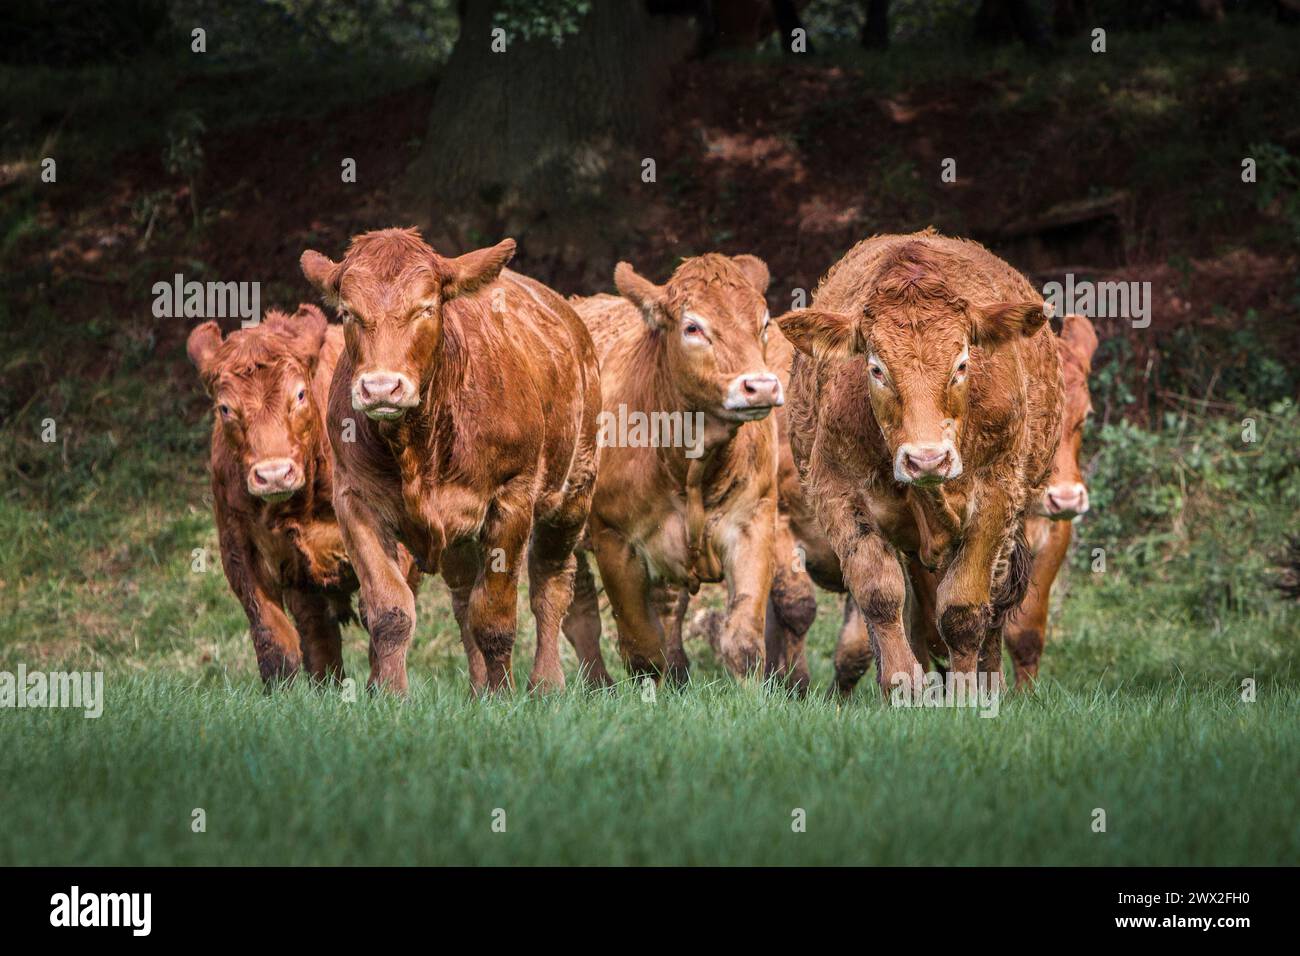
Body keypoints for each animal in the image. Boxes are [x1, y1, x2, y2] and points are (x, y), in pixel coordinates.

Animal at [300, 228, 600, 695]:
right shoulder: (354, 500)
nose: (381, 387)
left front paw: (502, 696)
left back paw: (545, 682)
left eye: (425, 307)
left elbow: (494, 616)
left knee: (550, 584)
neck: (417, 446)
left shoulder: (511, 498)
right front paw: (391, 695)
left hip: (572, 493)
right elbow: (390, 611)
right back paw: (477, 688)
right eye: (349, 312)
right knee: (462, 597)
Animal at [561, 254, 784, 685]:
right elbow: (642, 650)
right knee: (576, 613)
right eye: (693, 327)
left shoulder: (754, 521)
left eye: (763, 322)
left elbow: (743, 642)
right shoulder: (615, 540)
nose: (761, 386)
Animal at [776, 230, 1063, 699]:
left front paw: (967, 694)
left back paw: (990, 680)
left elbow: (964, 609)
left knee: (995, 599)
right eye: (876, 369)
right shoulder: (837, 490)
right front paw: (902, 684)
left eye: (961, 364)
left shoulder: (997, 495)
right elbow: (879, 594)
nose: (926, 459)